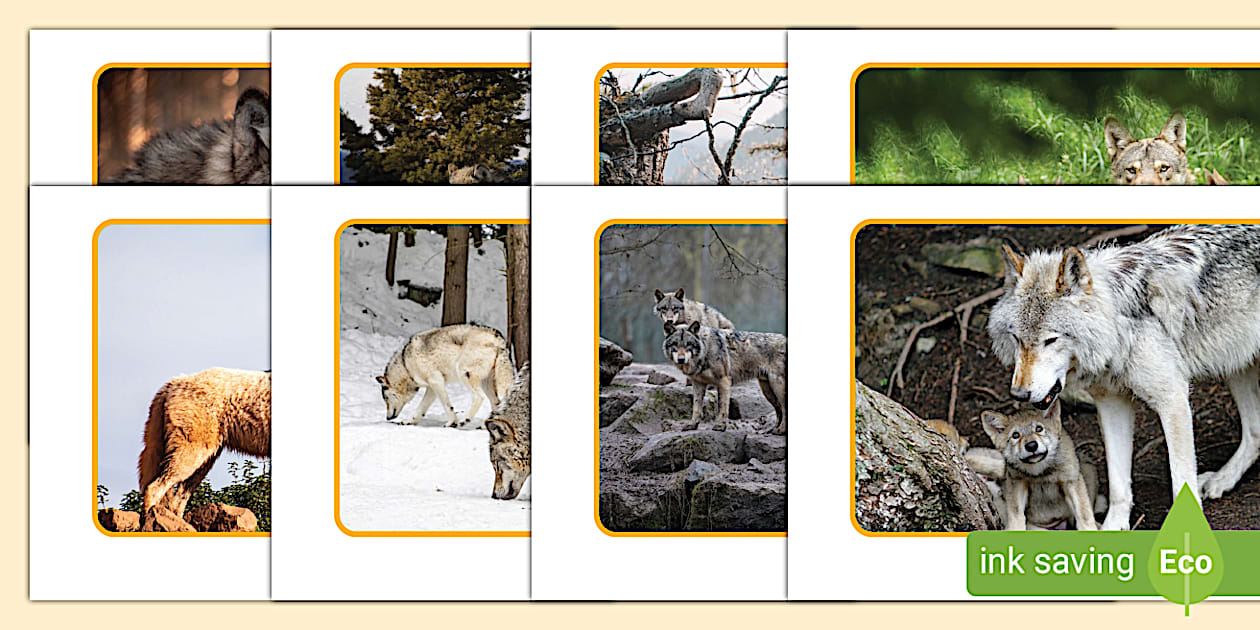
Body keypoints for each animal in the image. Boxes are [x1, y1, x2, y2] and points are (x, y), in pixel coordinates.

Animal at [377, 324, 515, 428]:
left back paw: (465, 420)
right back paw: (485, 426)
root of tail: (498, 338)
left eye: (386, 399)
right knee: (496, 403)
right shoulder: (431, 388)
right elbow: (421, 408)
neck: (406, 365)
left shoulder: (436, 382)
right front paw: (410, 422)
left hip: (465, 374)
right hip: (486, 383)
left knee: (479, 397)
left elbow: (447, 405)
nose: (387, 418)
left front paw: (452, 423)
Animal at [974, 401, 1102, 531]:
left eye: (1039, 429)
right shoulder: (1017, 483)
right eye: (1015, 435)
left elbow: (1084, 513)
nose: (1031, 445)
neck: (1040, 472)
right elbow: (1016, 514)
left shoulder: (1071, 481)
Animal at [989, 225, 1260, 529]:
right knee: (1255, 432)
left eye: (1050, 340)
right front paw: (1114, 526)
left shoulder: (1173, 399)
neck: (1117, 329)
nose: (1019, 394)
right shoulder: (1111, 404)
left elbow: (1181, 479)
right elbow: (1118, 483)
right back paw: (1223, 479)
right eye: (1017, 339)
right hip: (1237, 363)